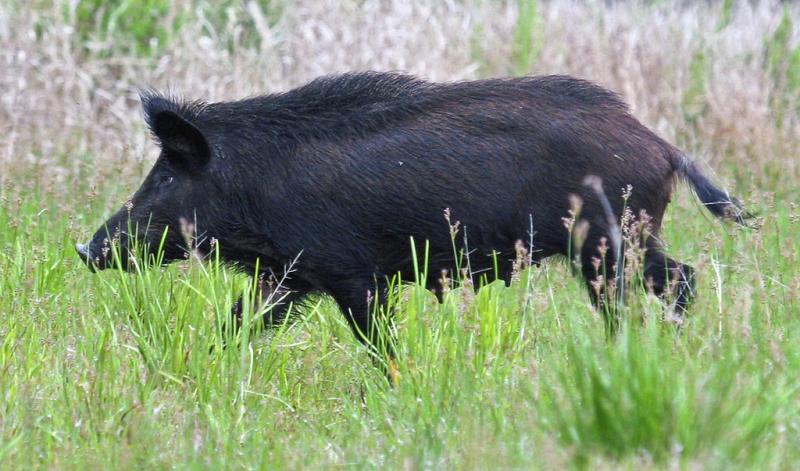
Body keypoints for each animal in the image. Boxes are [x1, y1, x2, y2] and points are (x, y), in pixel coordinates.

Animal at [76, 72, 748, 358]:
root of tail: (665, 148)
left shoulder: (352, 275)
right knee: (670, 282)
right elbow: (237, 325)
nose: (84, 249)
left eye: (166, 175)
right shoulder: (289, 278)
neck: (257, 187)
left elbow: (380, 345)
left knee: (672, 283)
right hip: (618, 242)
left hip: (608, 240)